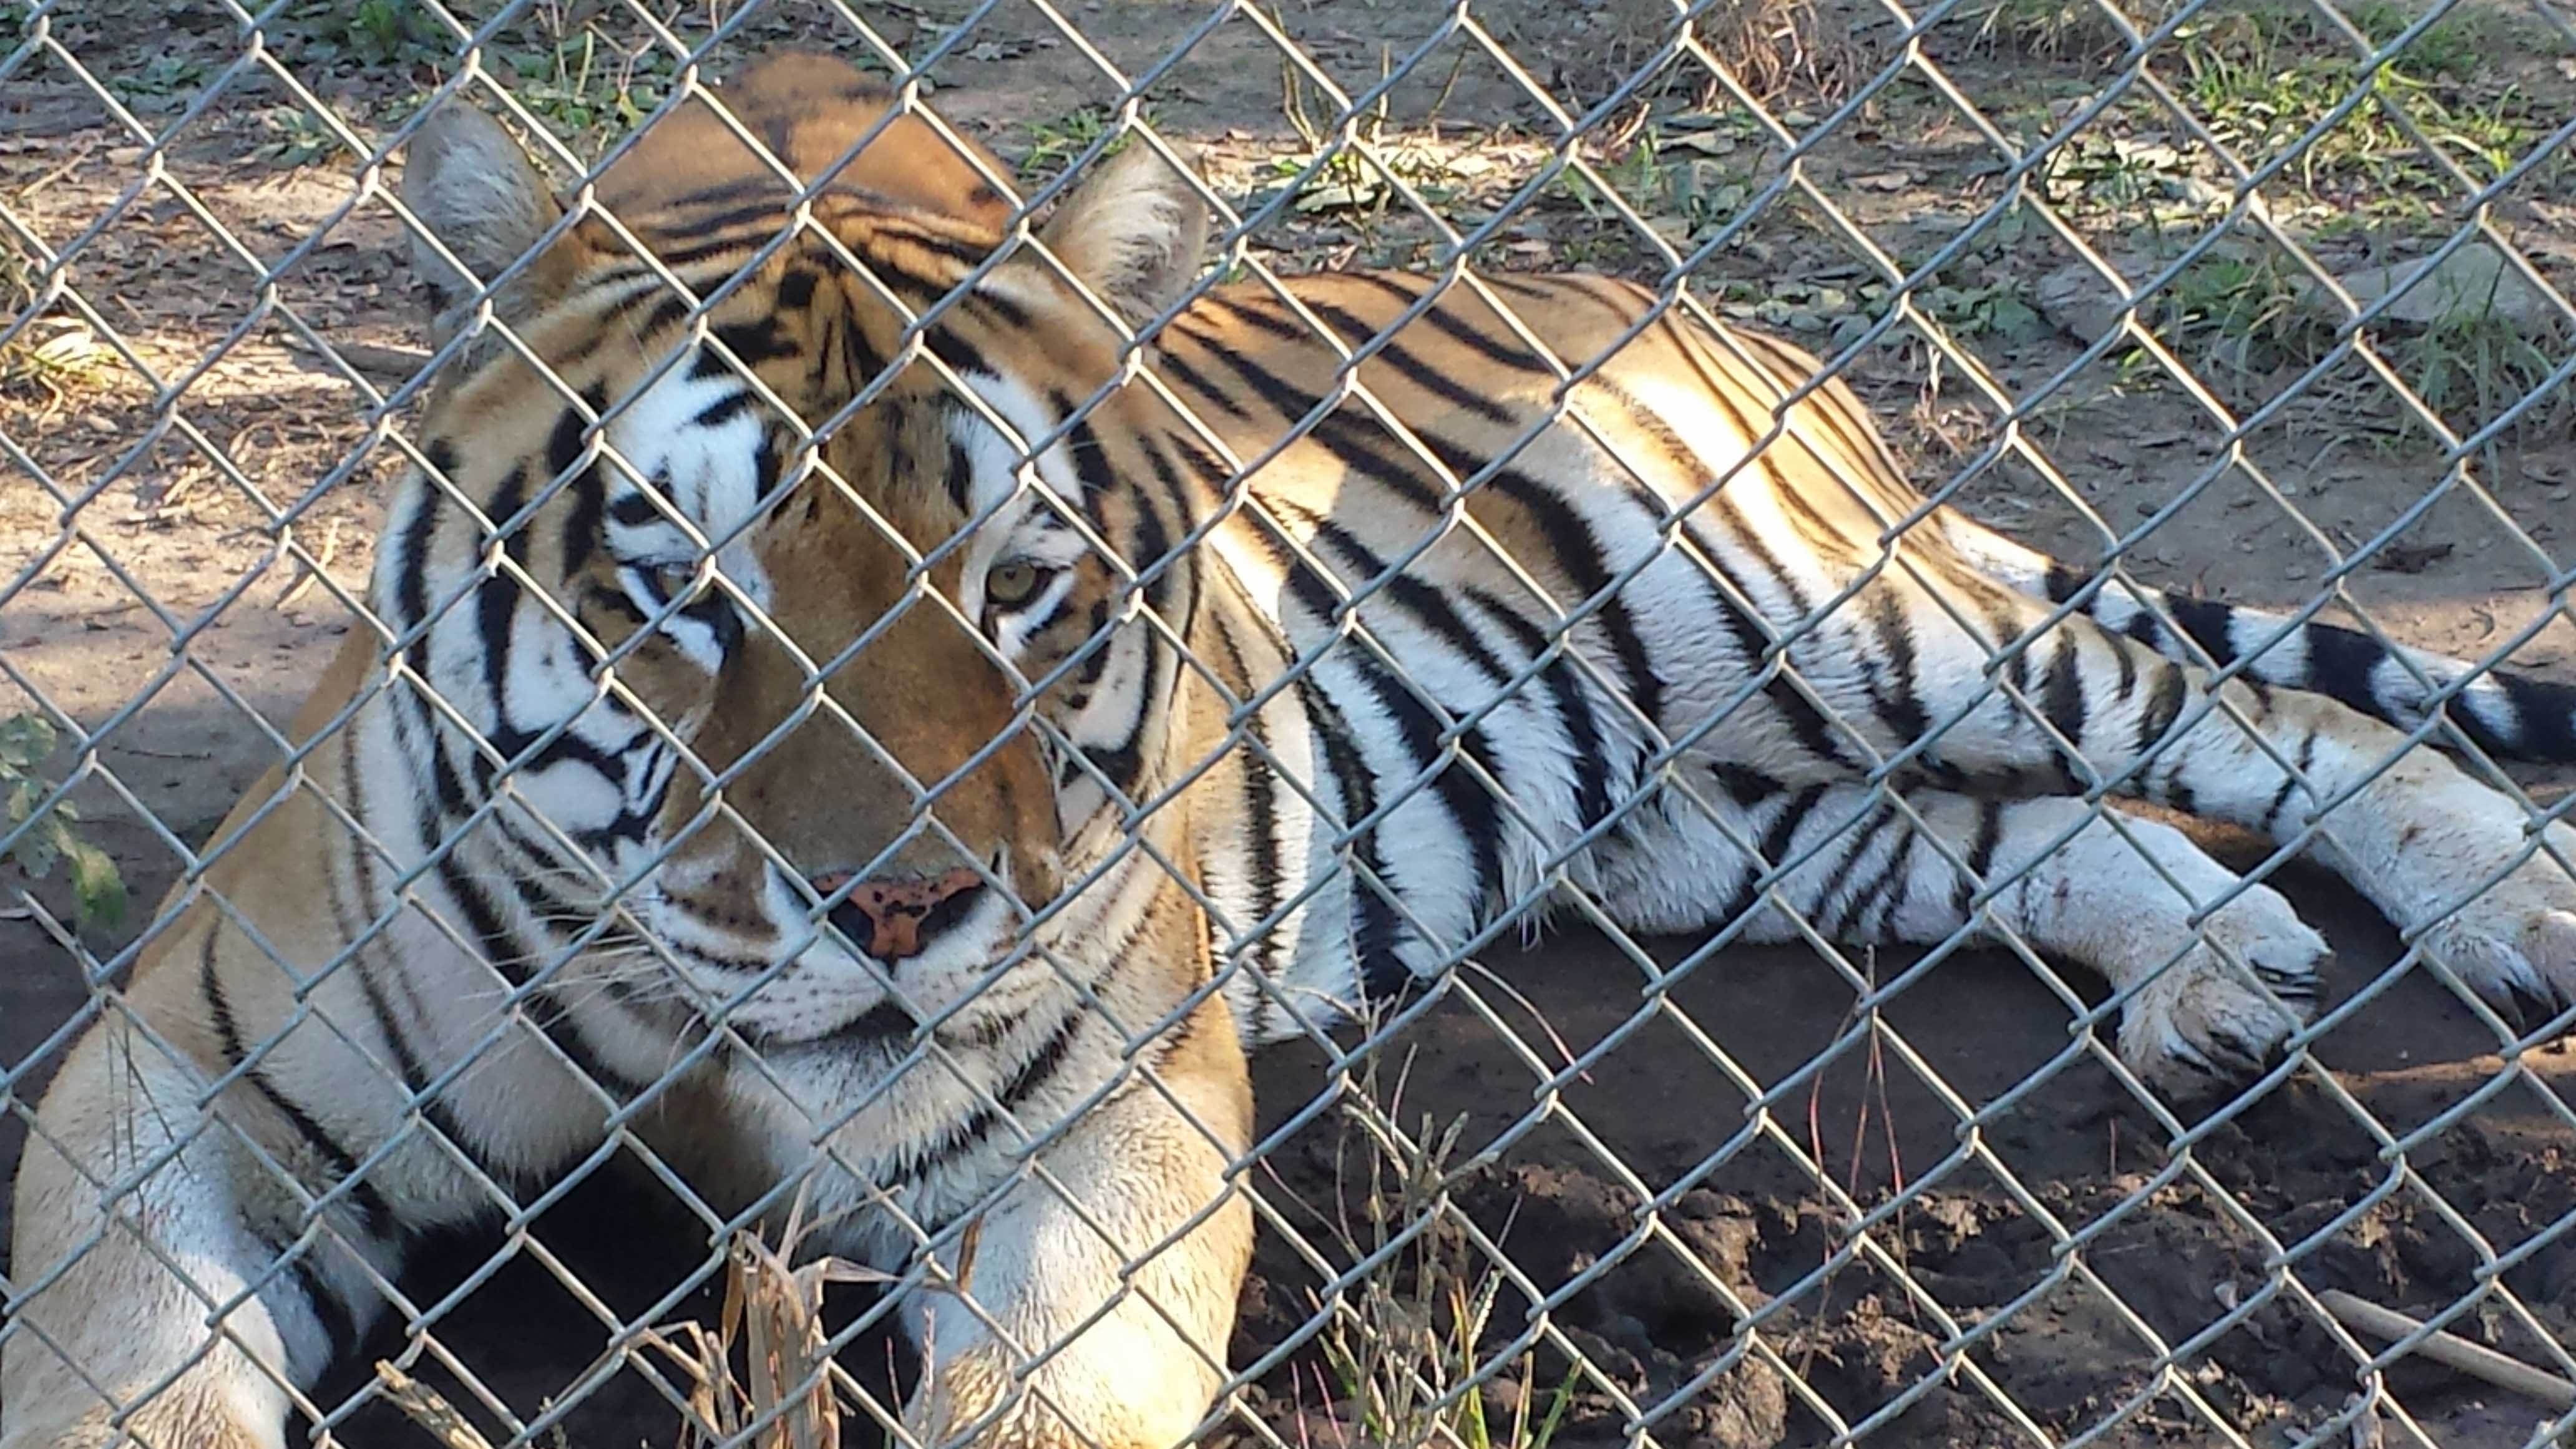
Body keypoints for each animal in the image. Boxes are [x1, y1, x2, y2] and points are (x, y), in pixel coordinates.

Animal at [11, 45, 2576, 1449]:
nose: (903, 914)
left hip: (1837, 622)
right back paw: (2217, 977)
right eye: (681, 594)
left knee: (2236, 710)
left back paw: (2508, 910)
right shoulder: (174, 1072)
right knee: (2046, 831)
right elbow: (114, 1357)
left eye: (1022, 588)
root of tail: (1666, 298)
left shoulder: (1114, 1125)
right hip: (1710, 818)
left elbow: (1039, 1396)